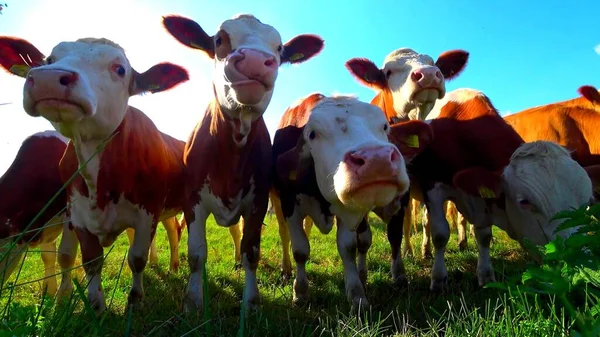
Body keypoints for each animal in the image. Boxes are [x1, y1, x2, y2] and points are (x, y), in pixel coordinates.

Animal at [0, 35, 190, 314]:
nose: (48, 77)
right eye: (48, 60)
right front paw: (93, 306)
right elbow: (86, 260)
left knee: (174, 234)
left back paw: (173, 266)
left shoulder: (149, 212)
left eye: (120, 69)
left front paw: (135, 302)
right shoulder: (77, 215)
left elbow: (137, 258)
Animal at [161, 13, 324, 312]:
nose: (255, 61)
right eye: (218, 40)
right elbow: (196, 253)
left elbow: (251, 251)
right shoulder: (192, 201)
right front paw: (193, 299)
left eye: (279, 48)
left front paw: (251, 302)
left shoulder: (258, 201)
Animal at [270, 92, 432, 308]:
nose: (376, 159)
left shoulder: (349, 211)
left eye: (384, 127)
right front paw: (300, 293)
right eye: (312, 134)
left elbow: (348, 248)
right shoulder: (290, 205)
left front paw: (356, 293)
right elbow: (300, 250)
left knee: (379, 238)